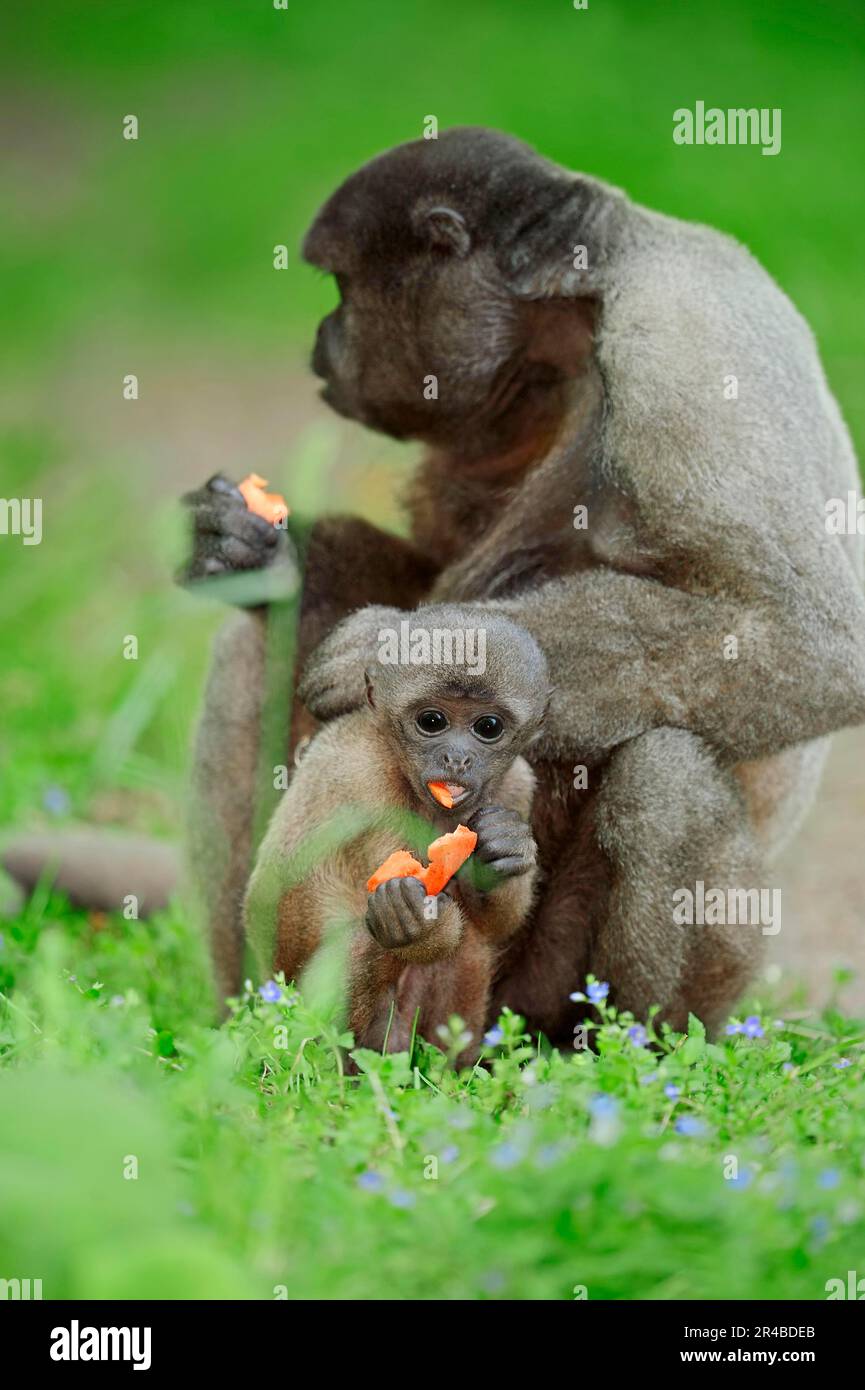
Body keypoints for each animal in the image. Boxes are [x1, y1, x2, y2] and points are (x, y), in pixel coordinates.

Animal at [243, 609, 546, 1062]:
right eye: (432, 721)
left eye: (488, 726)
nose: (457, 758)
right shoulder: (362, 775)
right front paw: (410, 920)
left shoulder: (517, 784)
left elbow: (496, 923)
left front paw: (504, 844)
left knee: (471, 942)